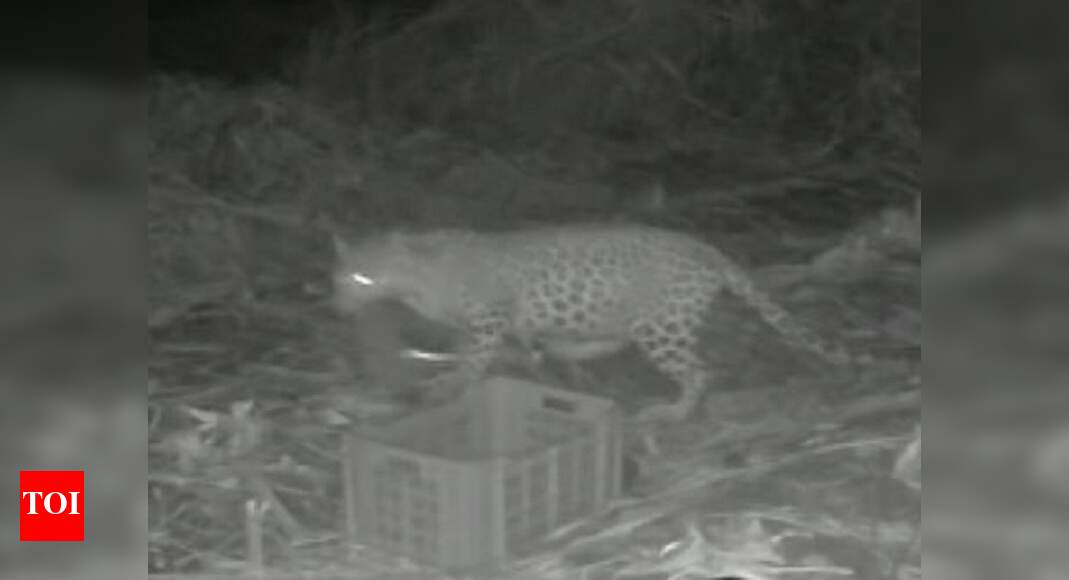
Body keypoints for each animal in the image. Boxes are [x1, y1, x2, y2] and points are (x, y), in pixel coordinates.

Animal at [331, 224, 849, 422]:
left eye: (363, 277)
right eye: (339, 277)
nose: (338, 306)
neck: (421, 278)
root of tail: (704, 246)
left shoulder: (489, 316)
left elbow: (474, 357)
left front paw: (450, 385)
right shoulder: (483, 326)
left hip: (661, 329)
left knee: (700, 371)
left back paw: (671, 412)